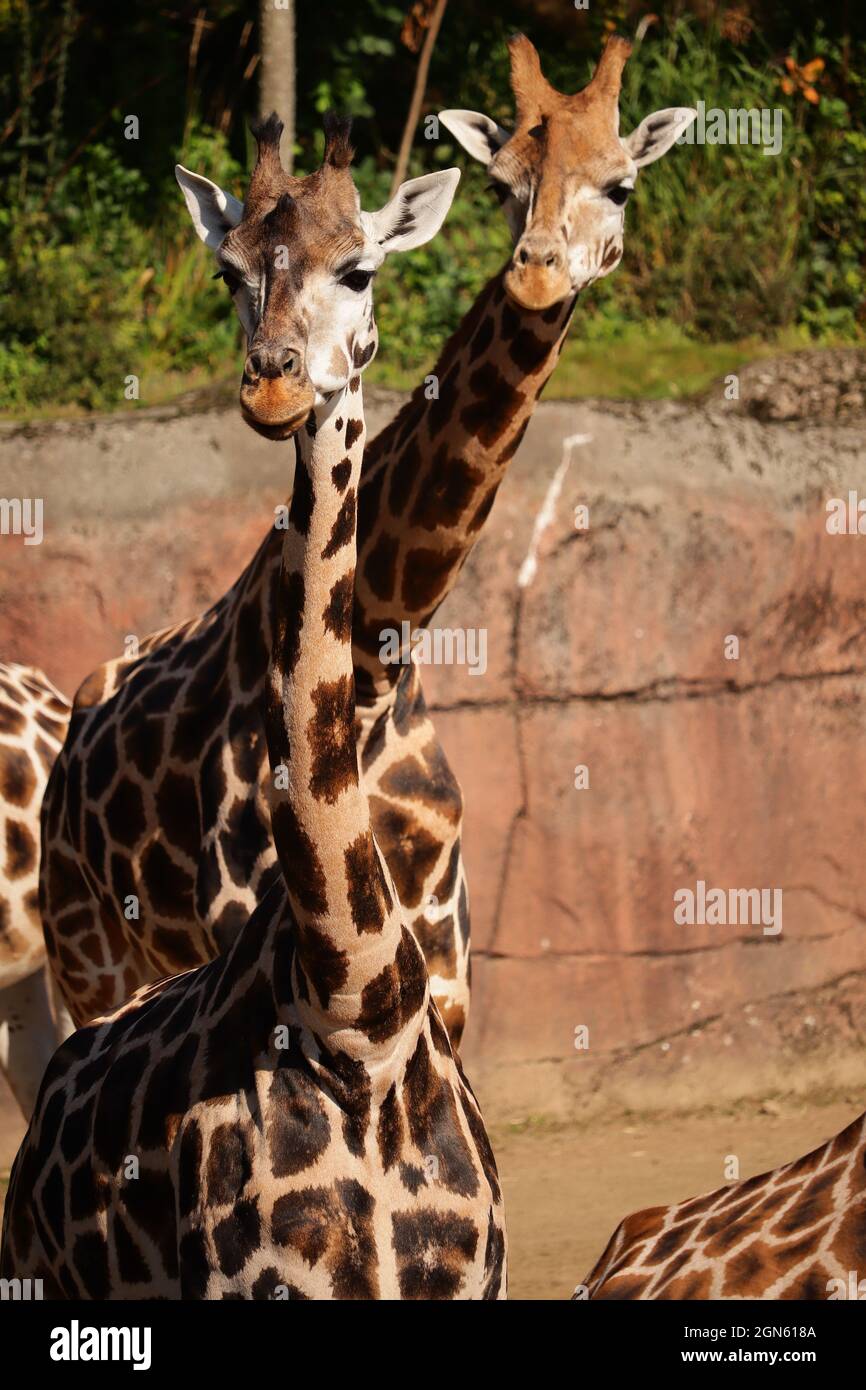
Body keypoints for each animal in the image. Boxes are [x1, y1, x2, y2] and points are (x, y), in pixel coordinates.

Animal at [39, 35, 696, 1045]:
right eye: (228, 273)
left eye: (619, 185)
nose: (539, 271)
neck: (381, 659)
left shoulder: (446, 967)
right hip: (89, 954)